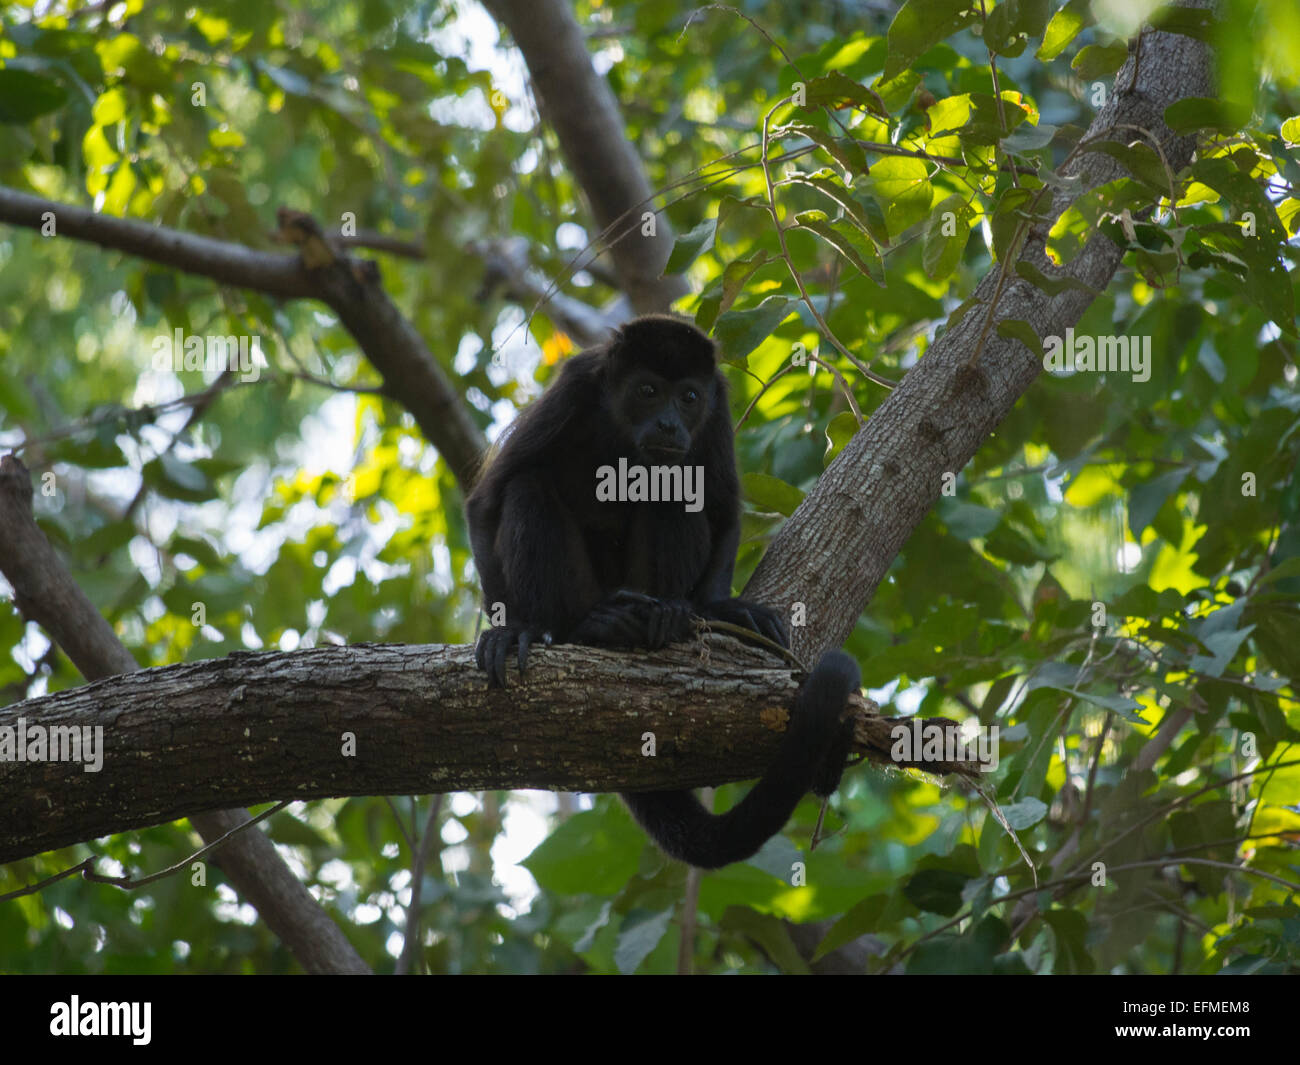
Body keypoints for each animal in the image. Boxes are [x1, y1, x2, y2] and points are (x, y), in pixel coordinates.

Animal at [466, 314, 859, 868]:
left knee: (674, 480)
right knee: (528, 487)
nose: (671, 424)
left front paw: (721, 606)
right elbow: (488, 500)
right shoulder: (574, 386)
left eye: (689, 397)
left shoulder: (718, 406)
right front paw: (513, 629)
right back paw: (589, 627)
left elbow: (721, 505)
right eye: (648, 391)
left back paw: (666, 617)